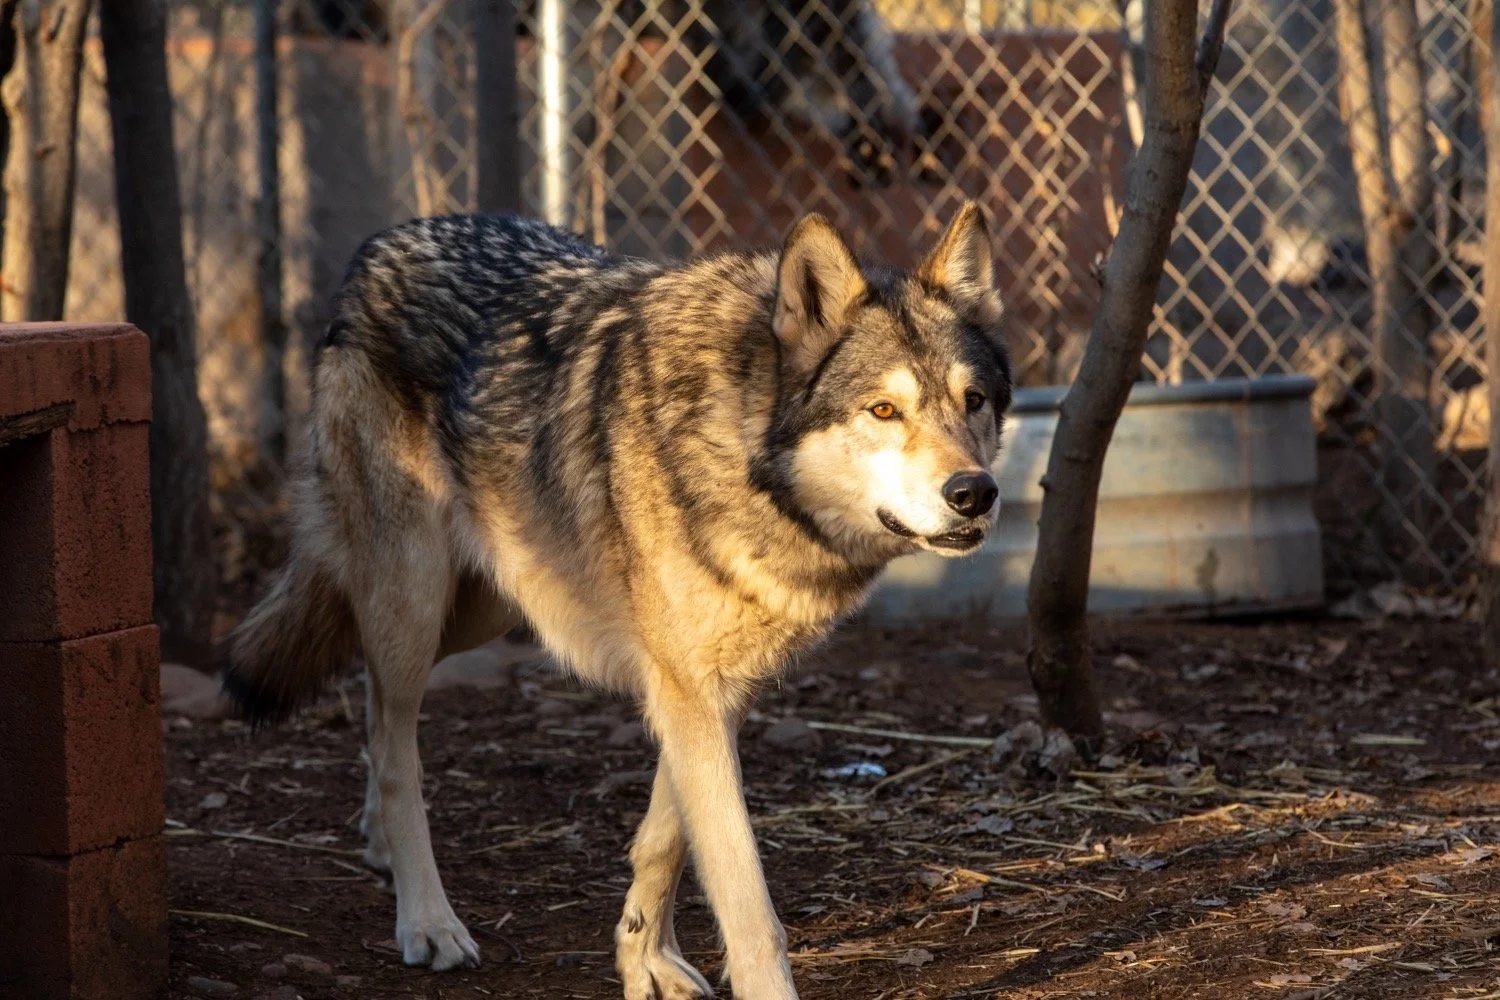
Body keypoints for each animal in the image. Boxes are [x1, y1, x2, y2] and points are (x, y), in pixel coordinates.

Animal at [224, 204, 1011, 999]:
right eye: (884, 409)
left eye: (973, 402)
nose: (974, 493)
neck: (740, 448)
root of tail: (384, 243)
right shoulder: (688, 690)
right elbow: (748, 905)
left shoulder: (706, 688)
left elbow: (665, 840)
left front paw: (644, 957)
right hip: (416, 598)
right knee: (395, 746)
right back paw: (426, 920)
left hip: (487, 605)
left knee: (377, 700)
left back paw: (377, 839)